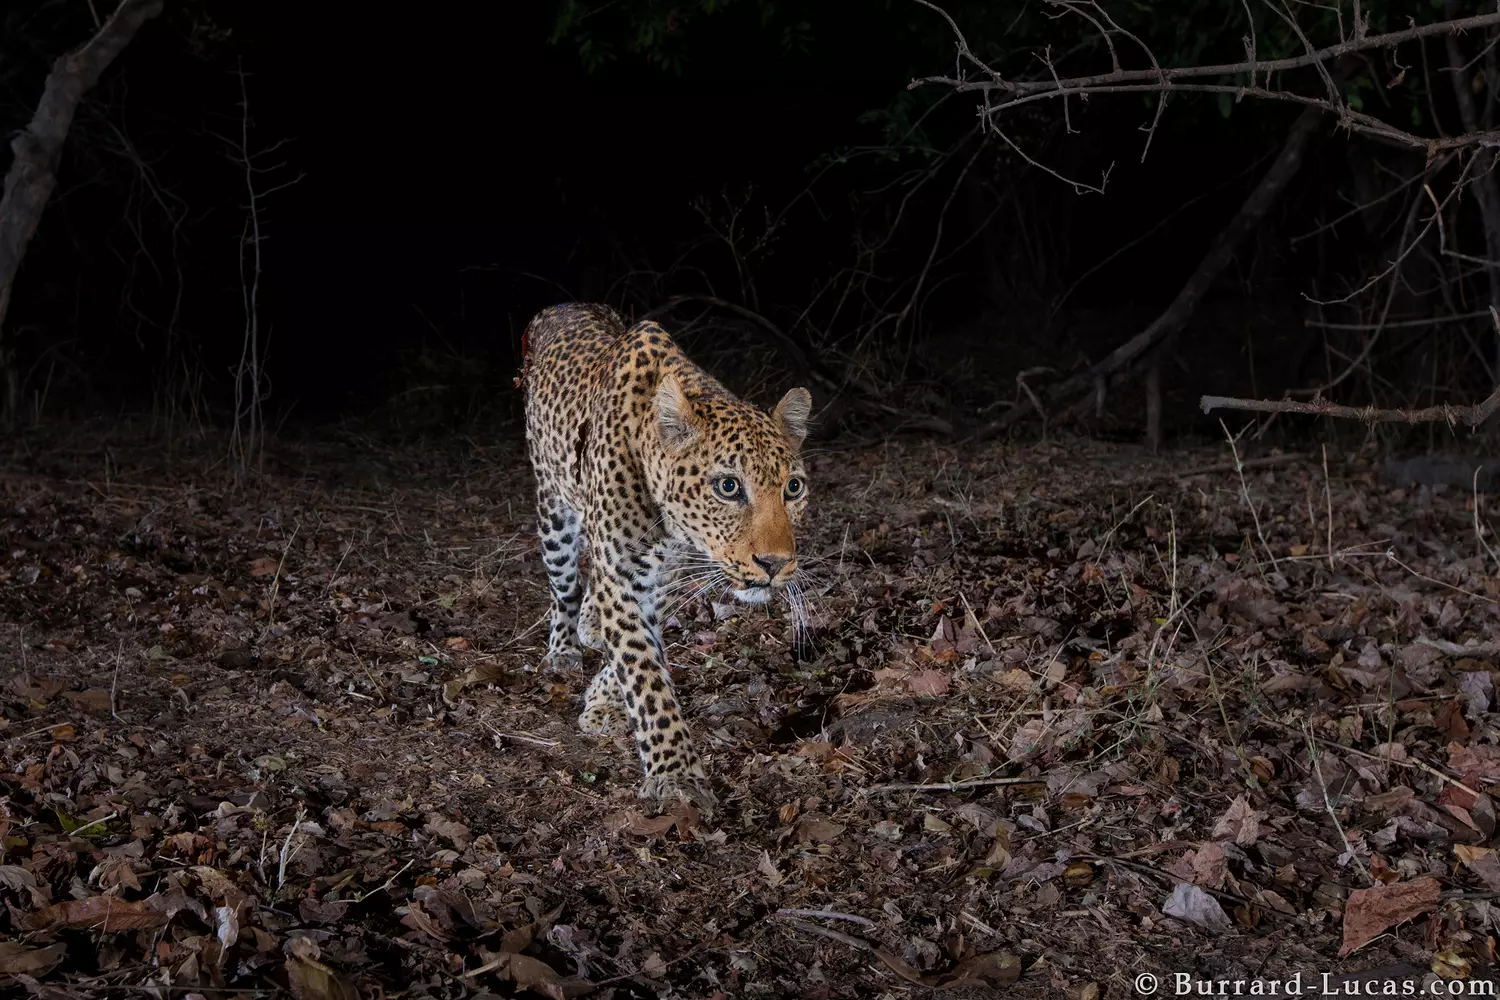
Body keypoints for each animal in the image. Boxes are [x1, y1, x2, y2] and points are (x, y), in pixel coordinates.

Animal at [522, 302, 816, 815]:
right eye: (728, 486)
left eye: (793, 488)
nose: (776, 563)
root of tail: (560, 307)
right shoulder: (622, 577)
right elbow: (643, 672)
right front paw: (676, 773)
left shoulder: (659, 578)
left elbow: (636, 653)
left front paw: (603, 700)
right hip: (552, 512)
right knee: (565, 587)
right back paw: (563, 648)